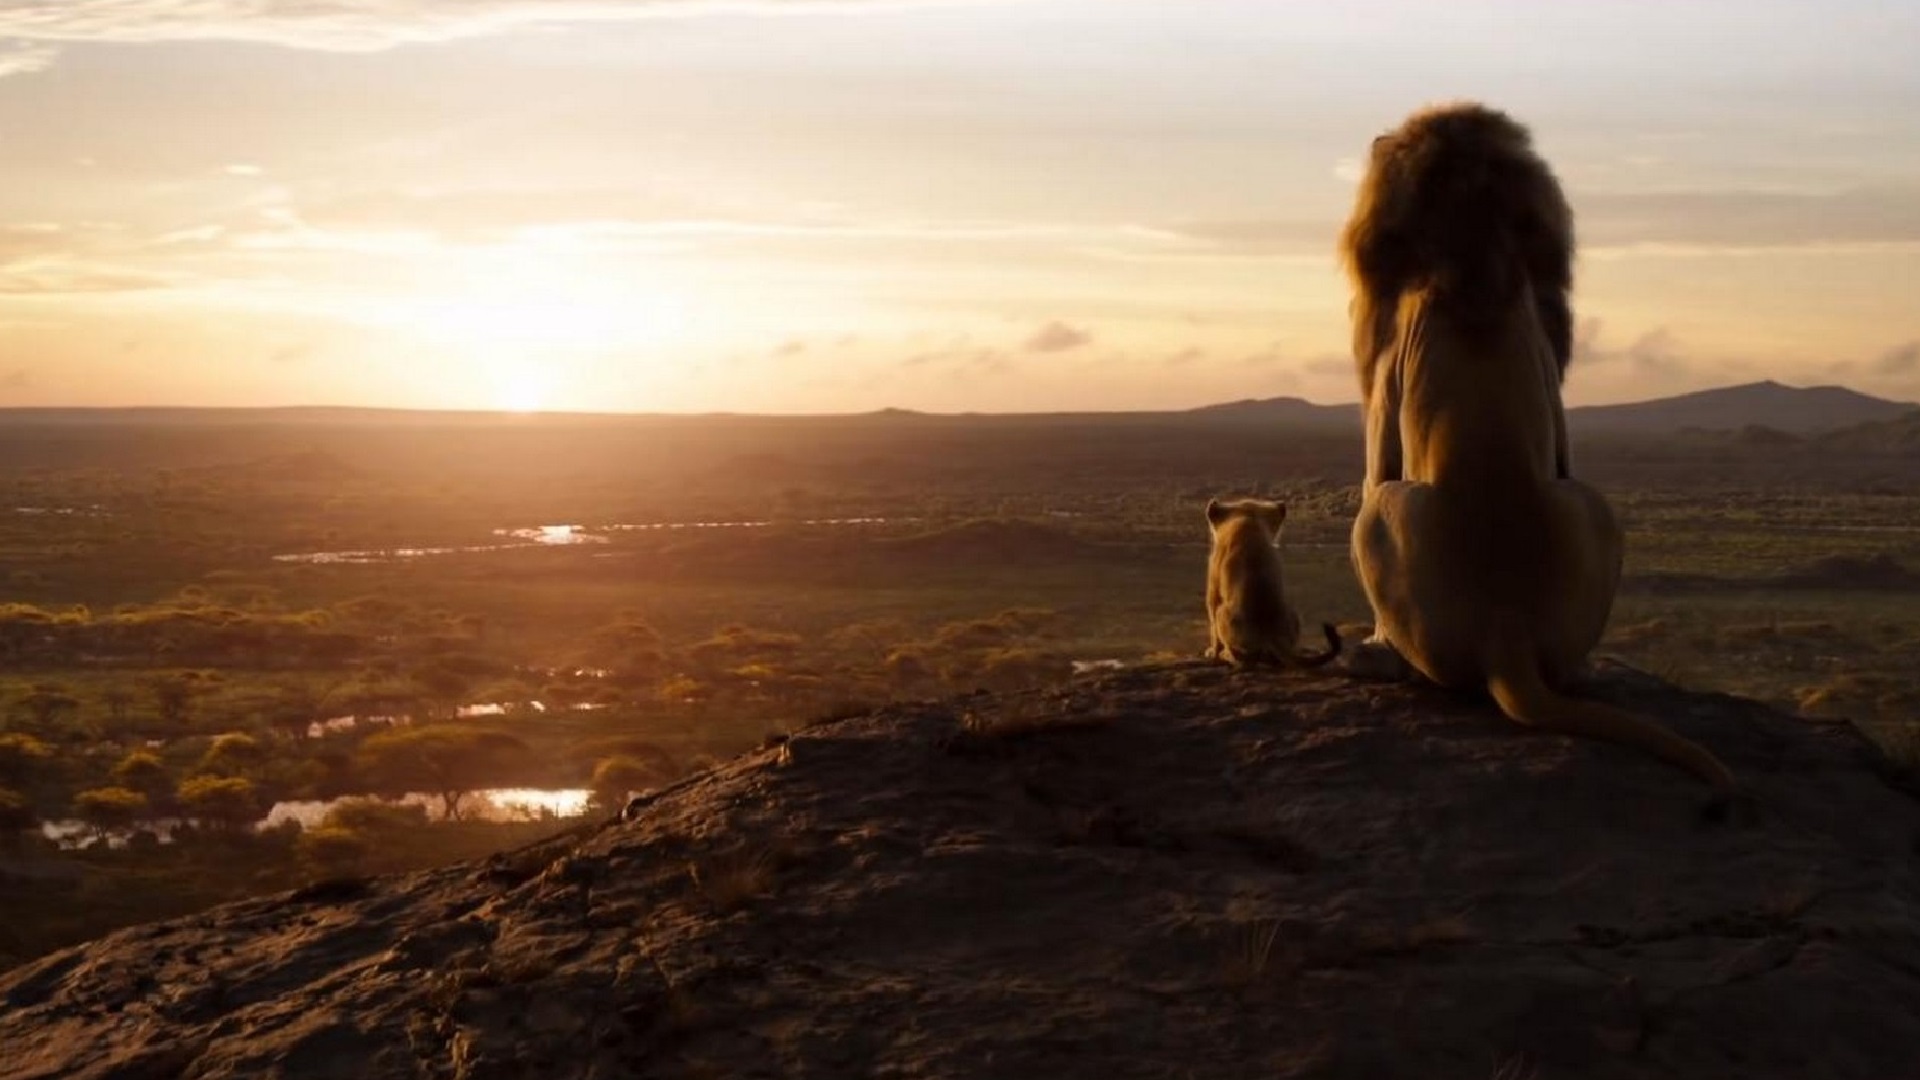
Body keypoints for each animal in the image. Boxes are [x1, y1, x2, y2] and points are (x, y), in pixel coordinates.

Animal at [1205, 497, 1341, 669]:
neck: (1247, 521)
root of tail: (1269, 635)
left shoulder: (1213, 590)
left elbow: (1213, 629)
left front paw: (1212, 653)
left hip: (1222, 613)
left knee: (1242, 656)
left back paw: (1226, 655)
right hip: (1293, 614)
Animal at [1338, 101, 1738, 799]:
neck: (1475, 241)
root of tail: (1509, 632)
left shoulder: (1385, 381)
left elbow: (1373, 458)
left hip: (1382, 515)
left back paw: (1375, 657)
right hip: (1594, 503)